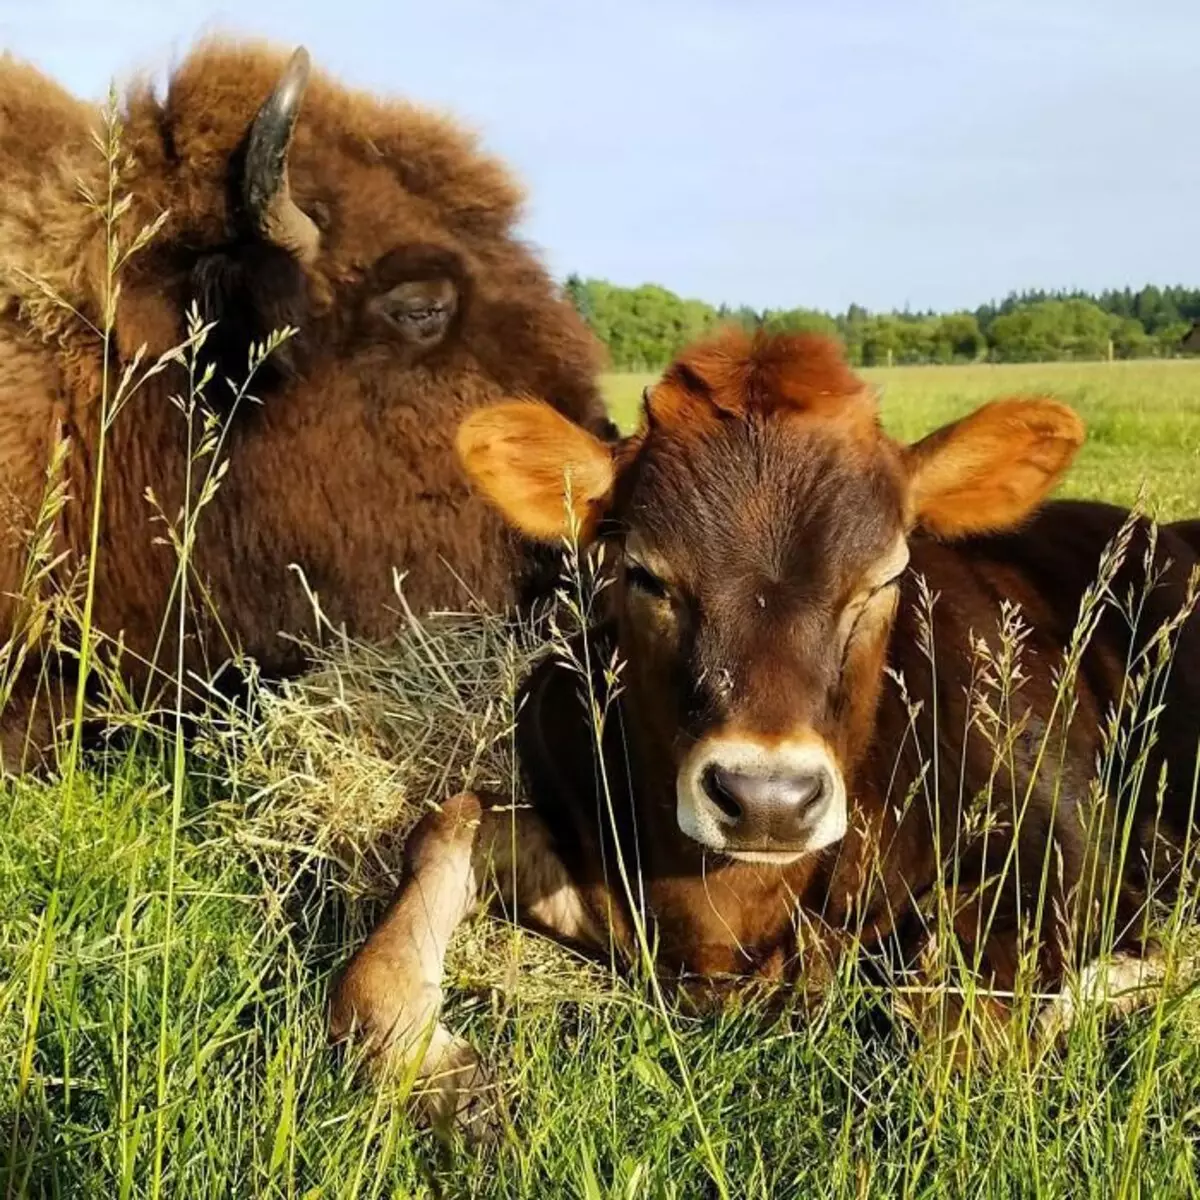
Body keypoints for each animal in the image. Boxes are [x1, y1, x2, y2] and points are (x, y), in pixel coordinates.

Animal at [331, 326, 1200, 1132]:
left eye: (884, 577)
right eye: (643, 573)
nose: (768, 800)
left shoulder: (1075, 850)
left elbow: (950, 1026)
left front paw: (1122, 982)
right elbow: (437, 841)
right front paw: (438, 1073)